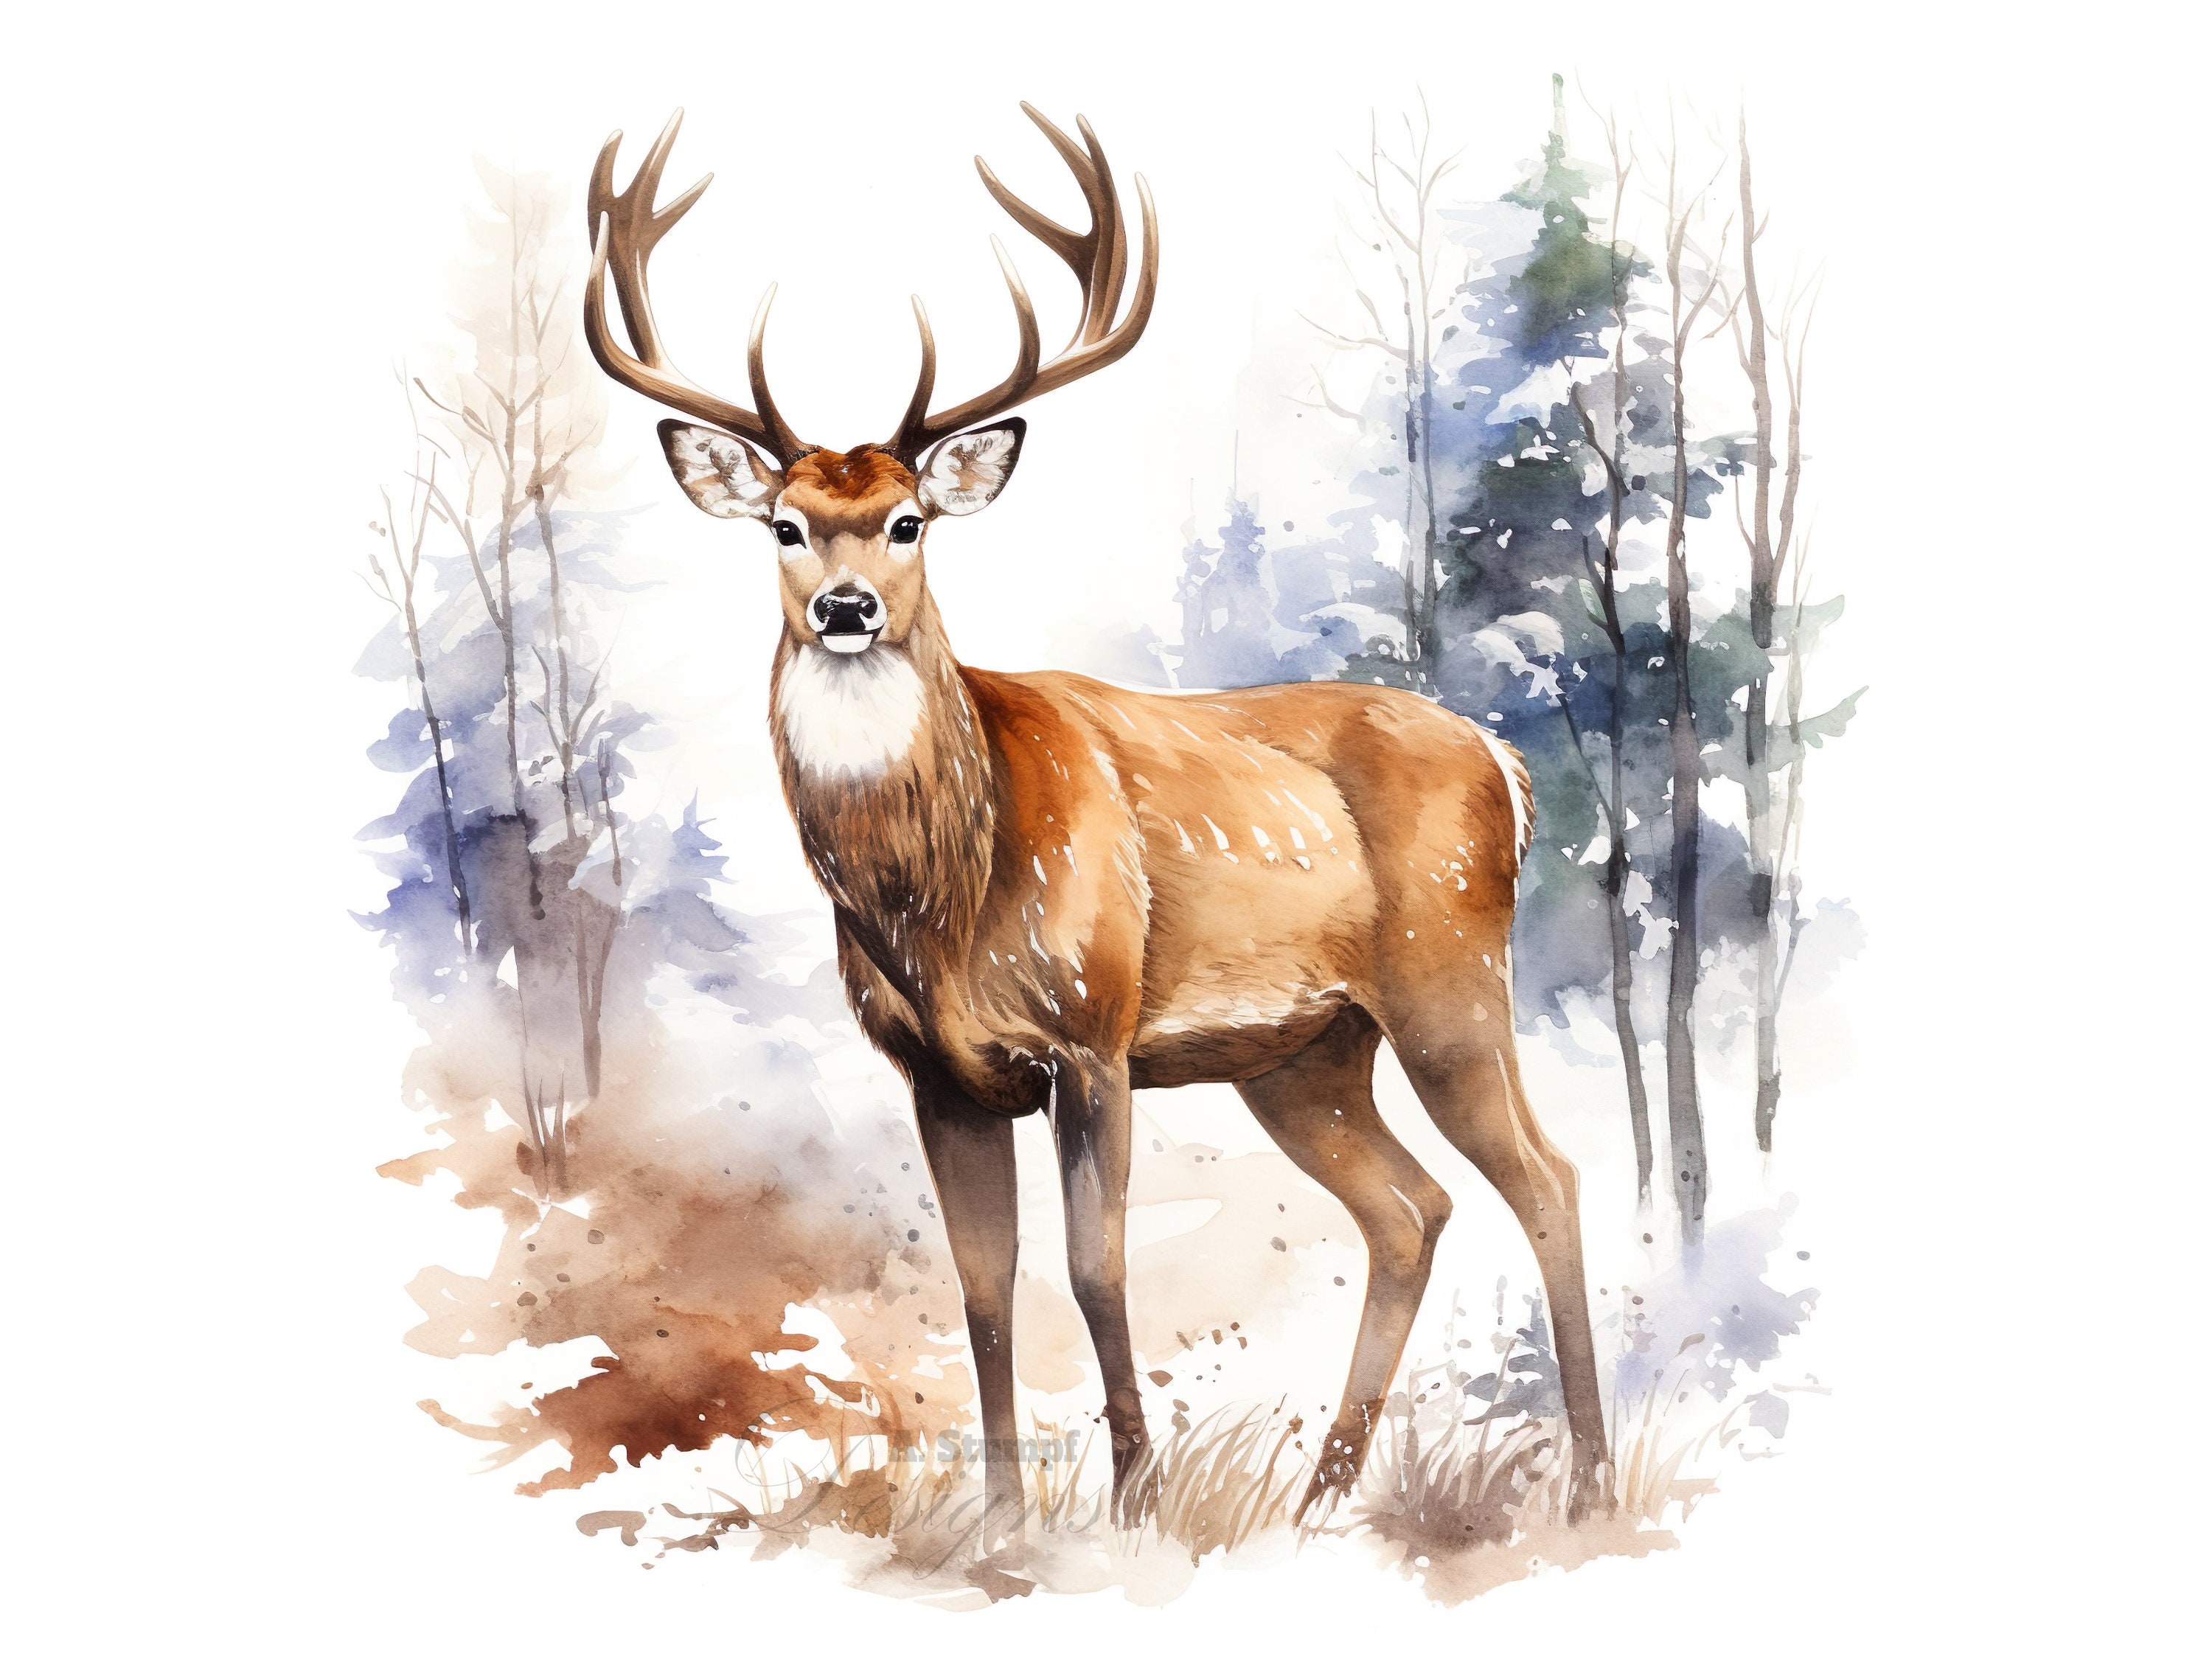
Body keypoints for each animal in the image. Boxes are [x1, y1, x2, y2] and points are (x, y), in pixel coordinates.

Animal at [583, 105, 1610, 1539]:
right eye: (785, 525)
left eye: (908, 521)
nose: (846, 608)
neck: (940, 902)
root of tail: (1504, 765)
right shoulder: (936, 1071)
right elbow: (983, 1285)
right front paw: (1006, 1520)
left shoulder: (1094, 1029)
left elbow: (1096, 1266)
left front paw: (1134, 1502)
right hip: (1305, 1054)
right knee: (1411, 1209)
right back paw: (1318, 1497)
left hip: (1448, 977)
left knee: (1547, 1178)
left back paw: (1588, 1483)